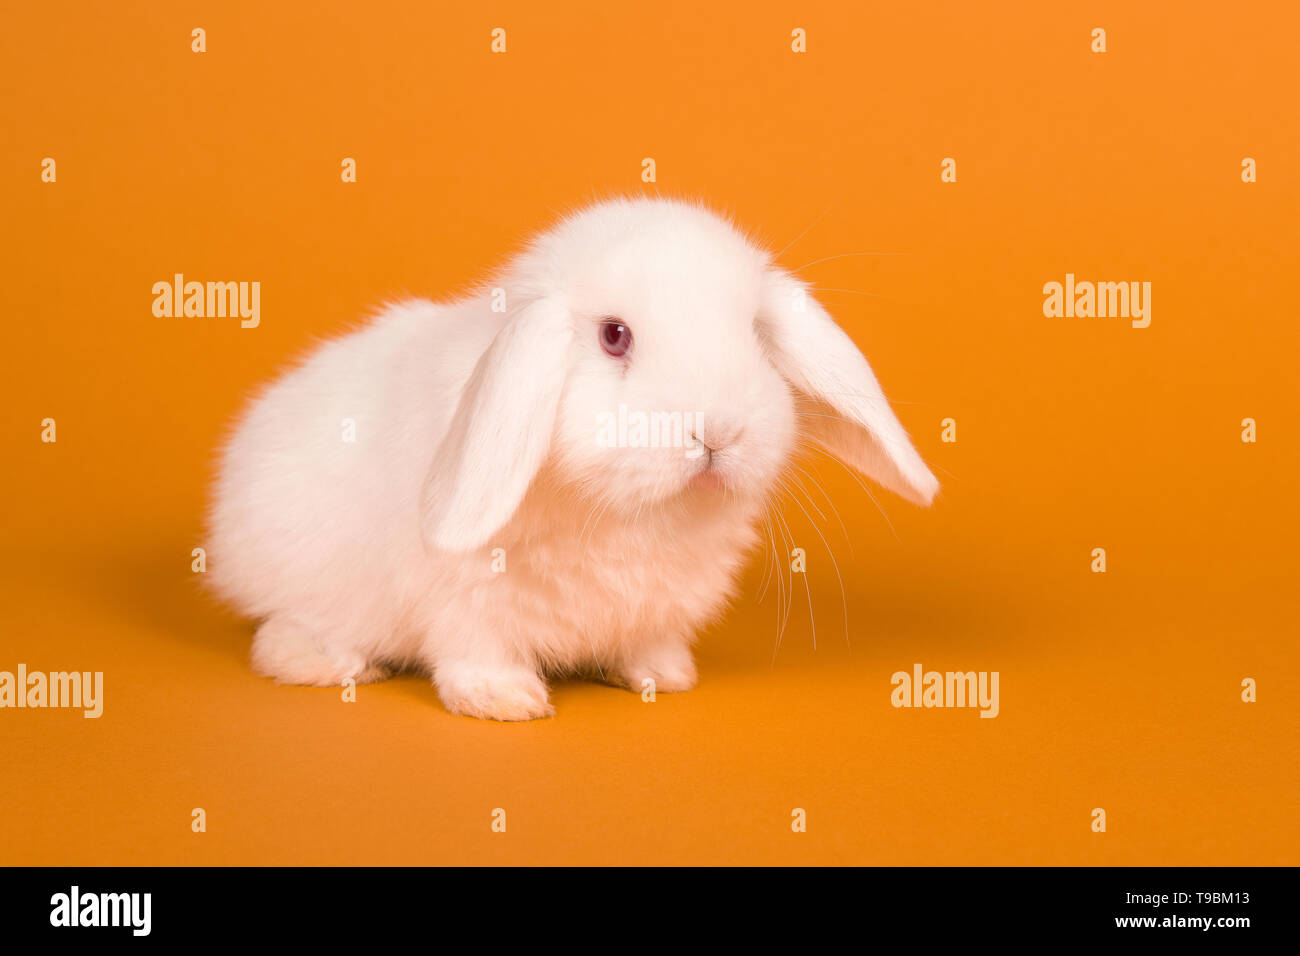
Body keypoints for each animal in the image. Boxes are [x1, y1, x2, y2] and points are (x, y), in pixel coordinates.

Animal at [206, 196, 938, 720]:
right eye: (614, 336)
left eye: (756, 332)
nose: (718, 431)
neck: (628, 510)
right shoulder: (465, 602)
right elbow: (475, 649)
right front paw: (505, 701)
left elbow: (648, 645)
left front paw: (665, 677)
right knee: (277, 635)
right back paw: (332, 664)